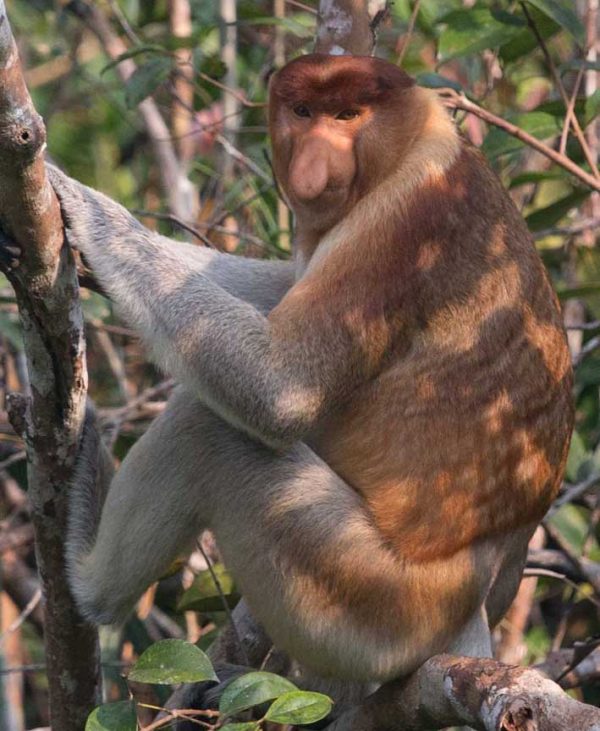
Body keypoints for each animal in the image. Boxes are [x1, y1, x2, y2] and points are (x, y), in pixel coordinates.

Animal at [0, 54, 573, 683]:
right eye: (303, 112)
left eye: (348, 115)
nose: (314, 163)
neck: (408, 148)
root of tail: (475, 605)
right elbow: (282, 286)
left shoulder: (406, 222)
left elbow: (283, 386)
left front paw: (81, 203)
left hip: (368, 595)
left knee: (209, 432)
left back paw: (86, 575)